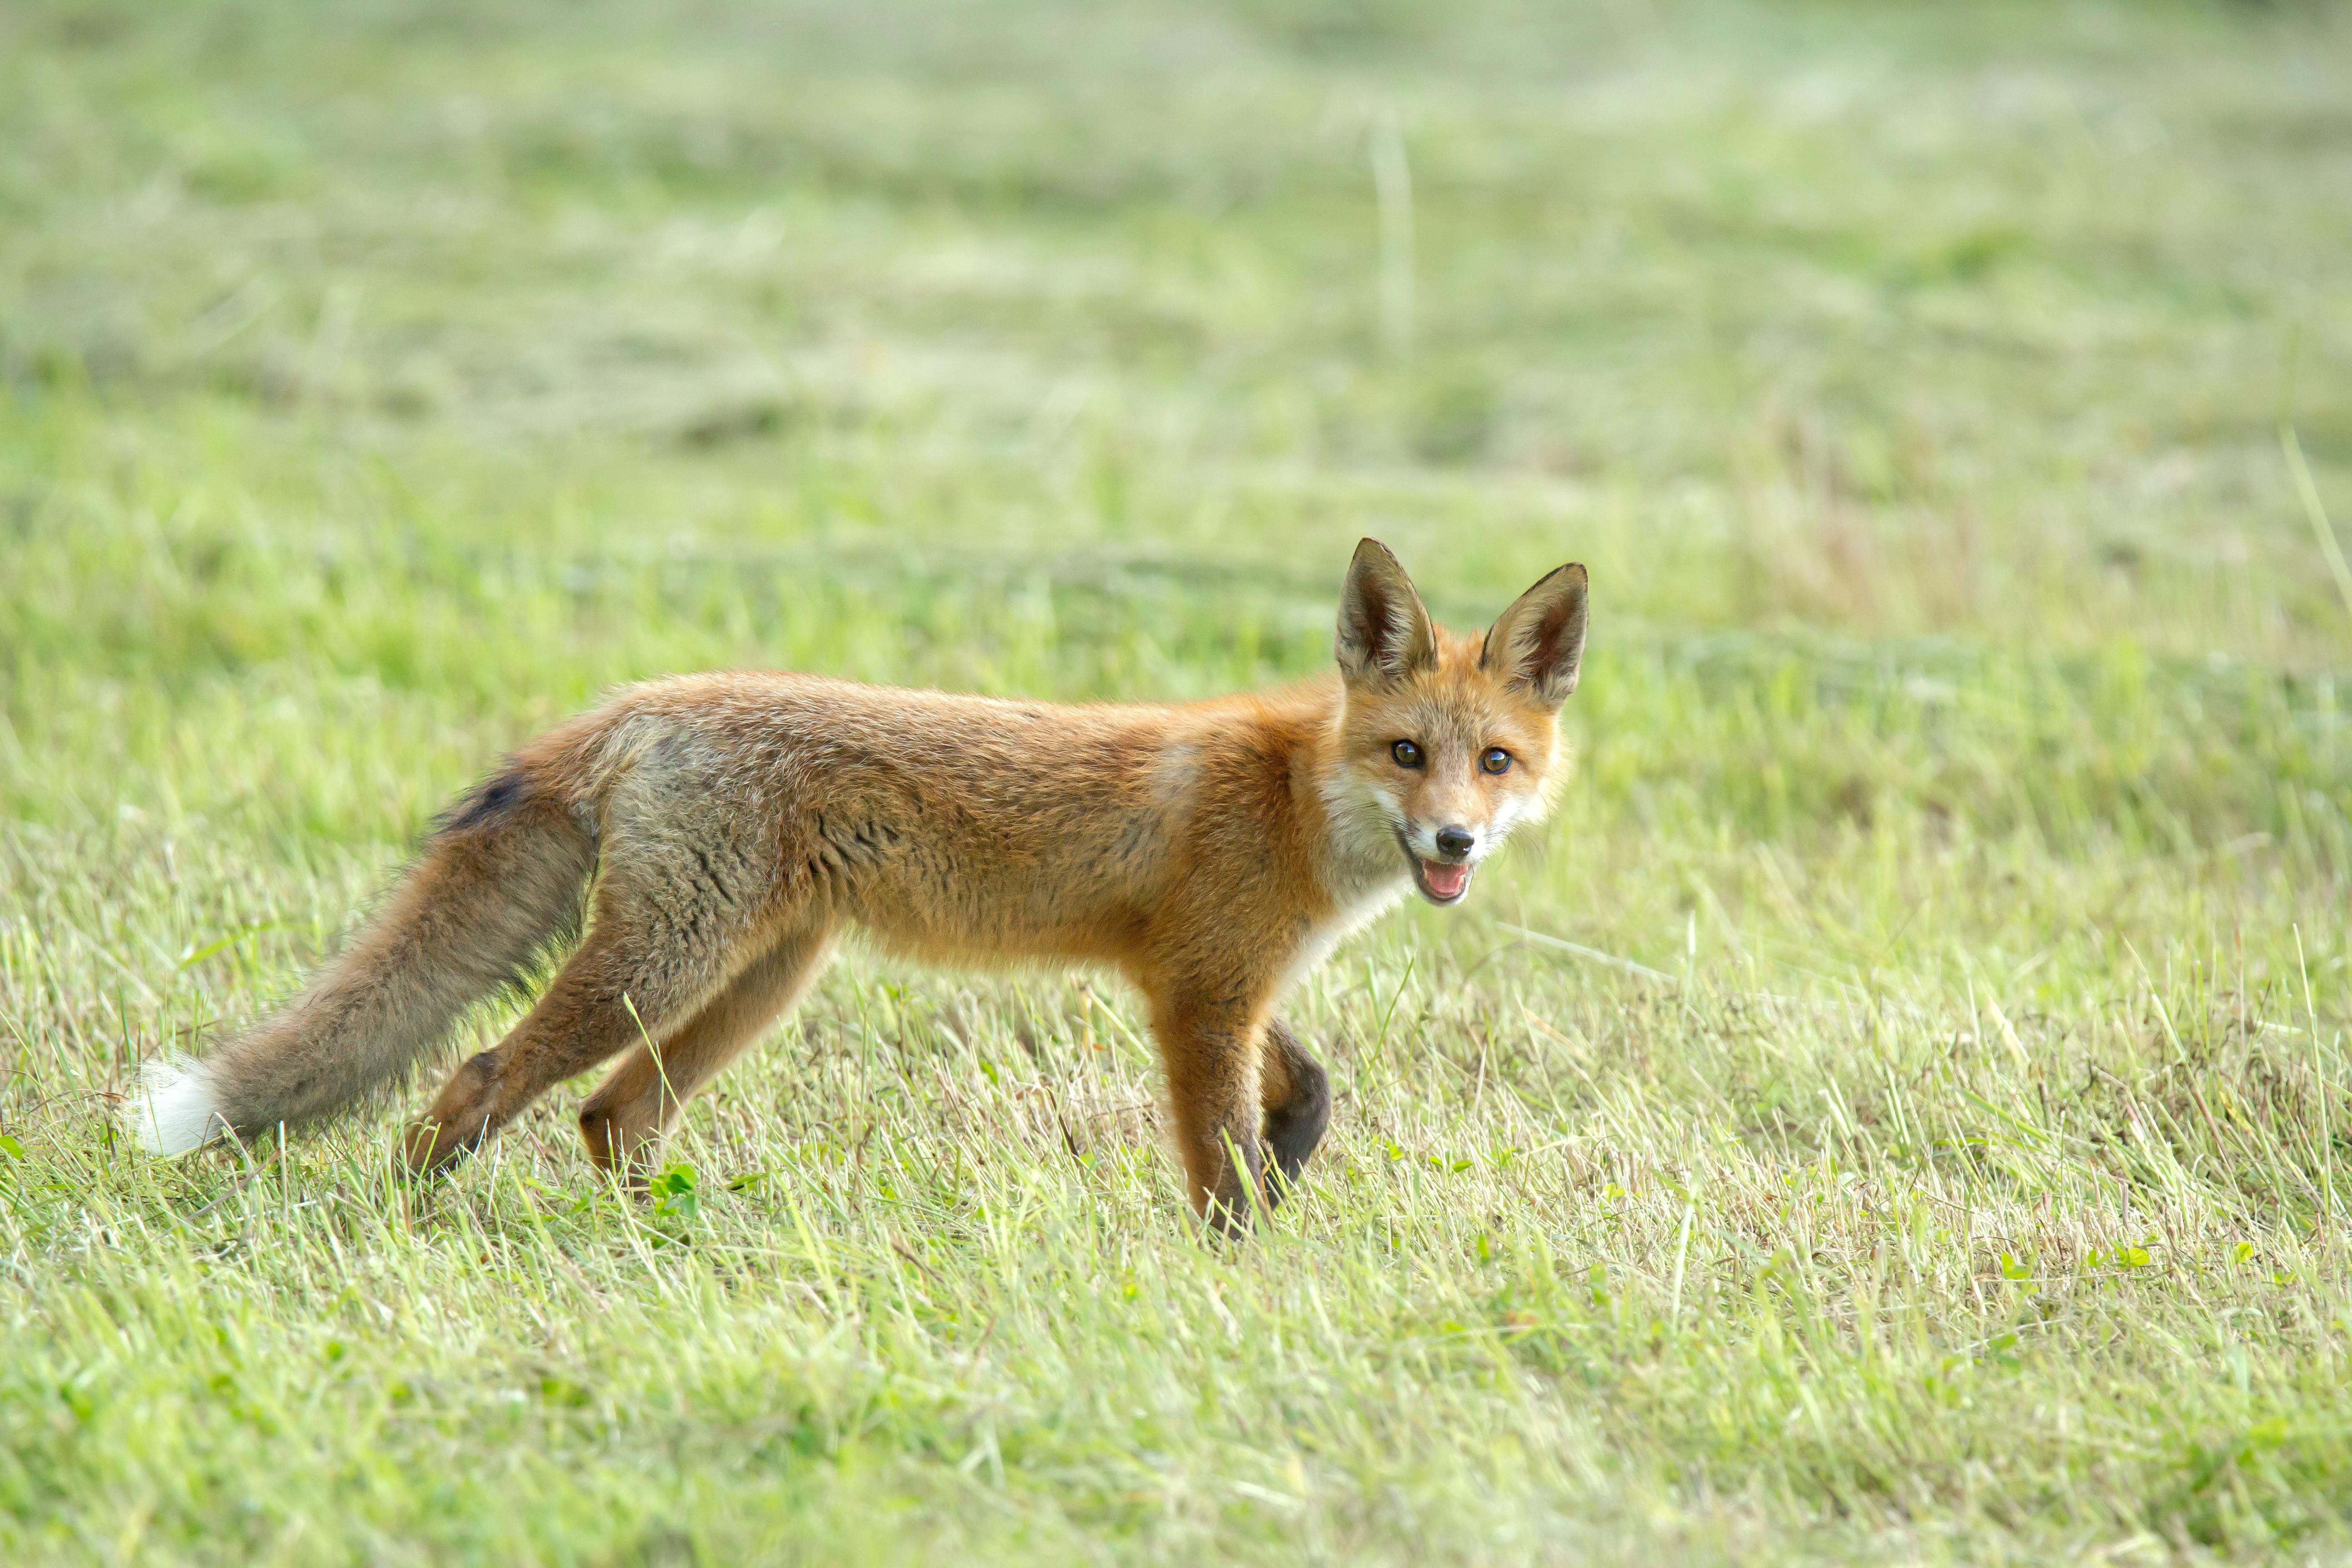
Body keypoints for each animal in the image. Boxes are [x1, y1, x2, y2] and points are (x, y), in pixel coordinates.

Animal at [131, 538, 1586, 1233]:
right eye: (1406, 754)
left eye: (1493, 763)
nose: (1453, 844)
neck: (1290, 798)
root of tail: (640, 703)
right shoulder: (1199, 995)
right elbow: (1217, 1162)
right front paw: (1242, 1264)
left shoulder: (1209, 979)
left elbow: (1309, 1088)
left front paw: (1289, 1164)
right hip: (664, 966)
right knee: (487, 1075)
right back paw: (402, 1221)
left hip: (759, 981)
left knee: (612, 1115)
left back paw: (663, 1253)